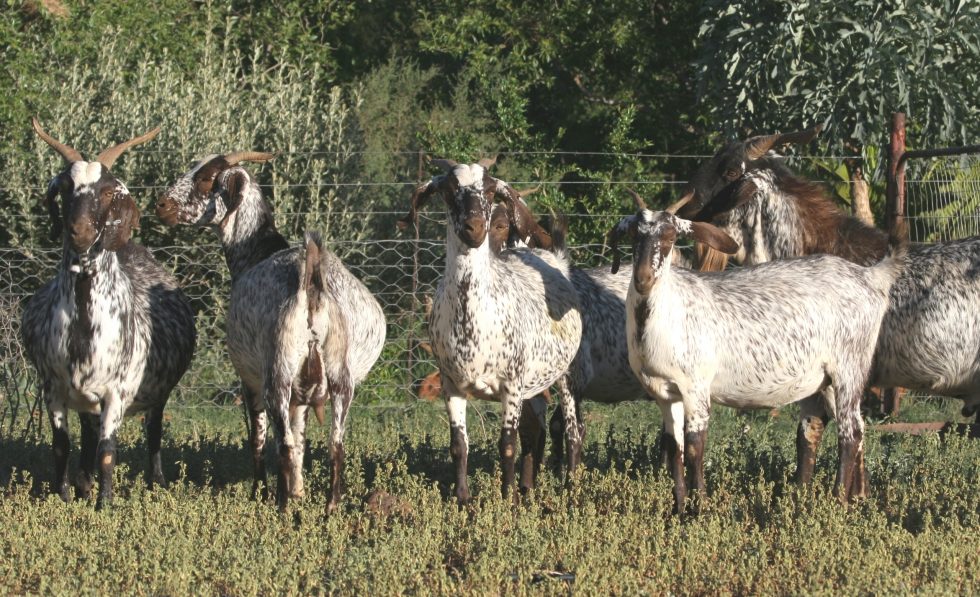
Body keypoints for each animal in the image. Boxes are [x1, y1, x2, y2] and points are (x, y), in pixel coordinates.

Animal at [21, 118, 196, 509]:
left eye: (106, 192)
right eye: (66, 188)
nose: (81, 231)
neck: (85, 326)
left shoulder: (117, 393)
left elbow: (107, 451)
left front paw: (105, 504)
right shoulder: (53, 388)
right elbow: (62, 446)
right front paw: (65, 498)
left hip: (157, 393)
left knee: (153, 431)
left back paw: (156, 482)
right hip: (86, 401)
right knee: (86, 435)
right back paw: (83, 484)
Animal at [156, 152, 385, 511]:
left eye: (206, 178)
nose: (162, 204)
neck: (256, 252)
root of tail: (312, 284)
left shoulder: (250, 381)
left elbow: (259, 439)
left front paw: (262, 493)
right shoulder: (301, 396)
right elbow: (301, 437)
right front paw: (298, 491)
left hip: (277, 376)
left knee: (284, 445)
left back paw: (281, 506)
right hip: (340, 380)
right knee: (334, 444)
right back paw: (329, 507)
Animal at [399, 158, 583, 503]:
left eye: (488, 189)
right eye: (450, 188)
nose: (474, 228)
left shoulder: (510, 386)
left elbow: (507, 445)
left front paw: (506, 499)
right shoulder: (451, 385)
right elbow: (459, 446)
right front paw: (463, 499)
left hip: (567, 374)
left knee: (572, 431)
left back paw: (570, 487)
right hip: (533, 387)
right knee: (536, 430)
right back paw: (528, 487)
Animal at [610, 191, 902, 514]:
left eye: (672, 236)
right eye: (633, 234)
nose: (643, 279)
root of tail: (871, 277)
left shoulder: (695, 387)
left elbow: (696, 446)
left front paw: (700, 508)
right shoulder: (665, 393)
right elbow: (675, 449)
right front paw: (679, 508)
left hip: (850, 367)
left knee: (849, 432)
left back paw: (837, 501)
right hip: (827, 379)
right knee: (855, 427)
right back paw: (854, 499)